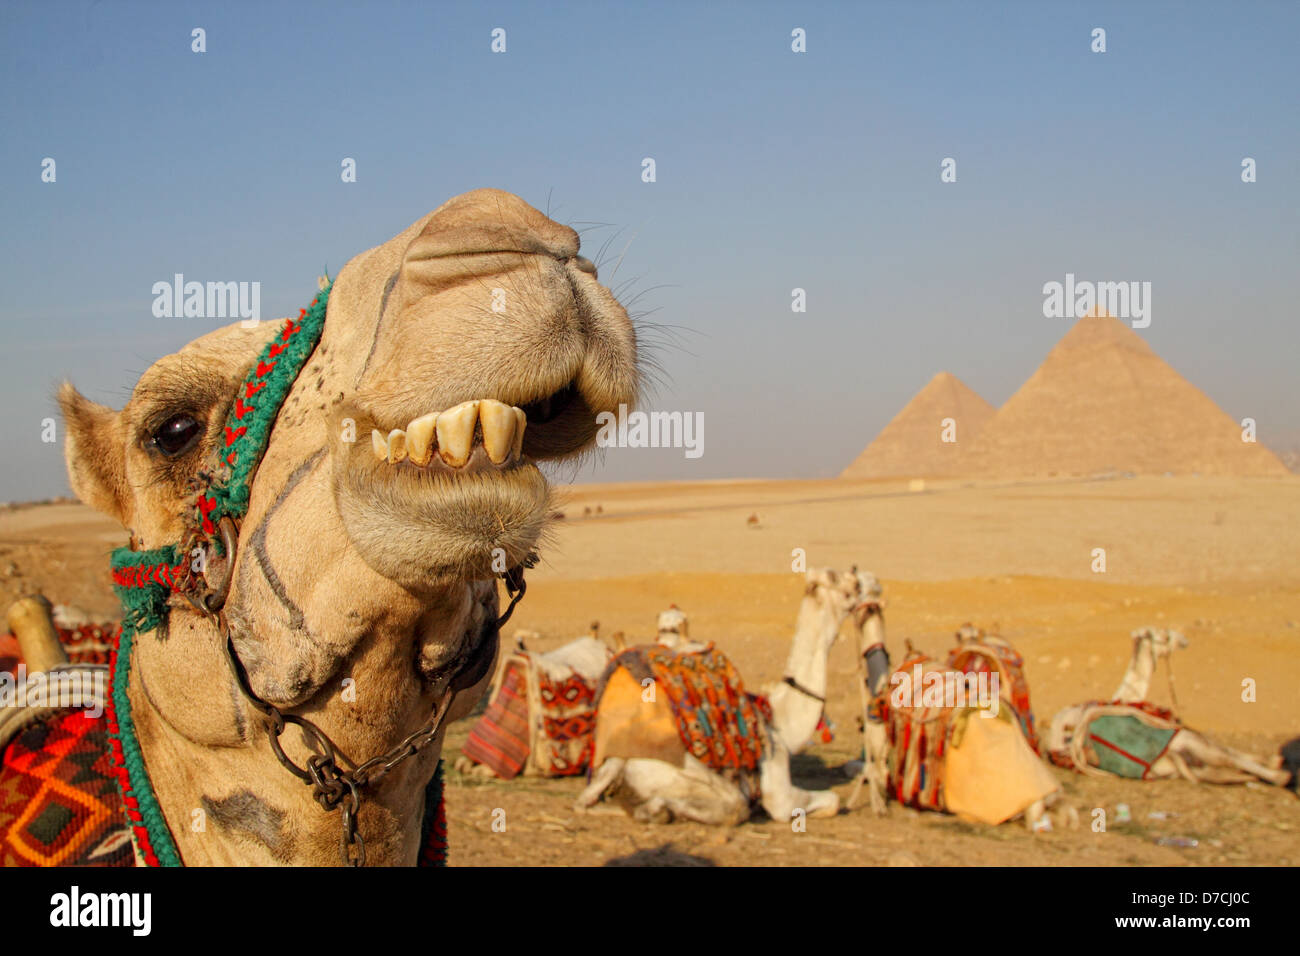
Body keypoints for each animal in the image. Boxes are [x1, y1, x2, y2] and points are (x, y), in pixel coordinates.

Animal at [573, 567, 862, 826]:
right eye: (835, 577)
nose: (859, 580)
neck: (780, 722)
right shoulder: (779, 789)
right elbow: (831, 801)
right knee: (733, 806)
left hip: (615, 768)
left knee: (585, 802)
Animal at [1047, 628, 1289, 786]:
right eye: (1163, 636)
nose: (1184, 640)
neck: (1125, 697)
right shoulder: (1184, 736)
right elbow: (1231, 753)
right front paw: (1275, 762)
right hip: (1188, 744)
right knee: (1225, 758)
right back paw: (1280, 775)